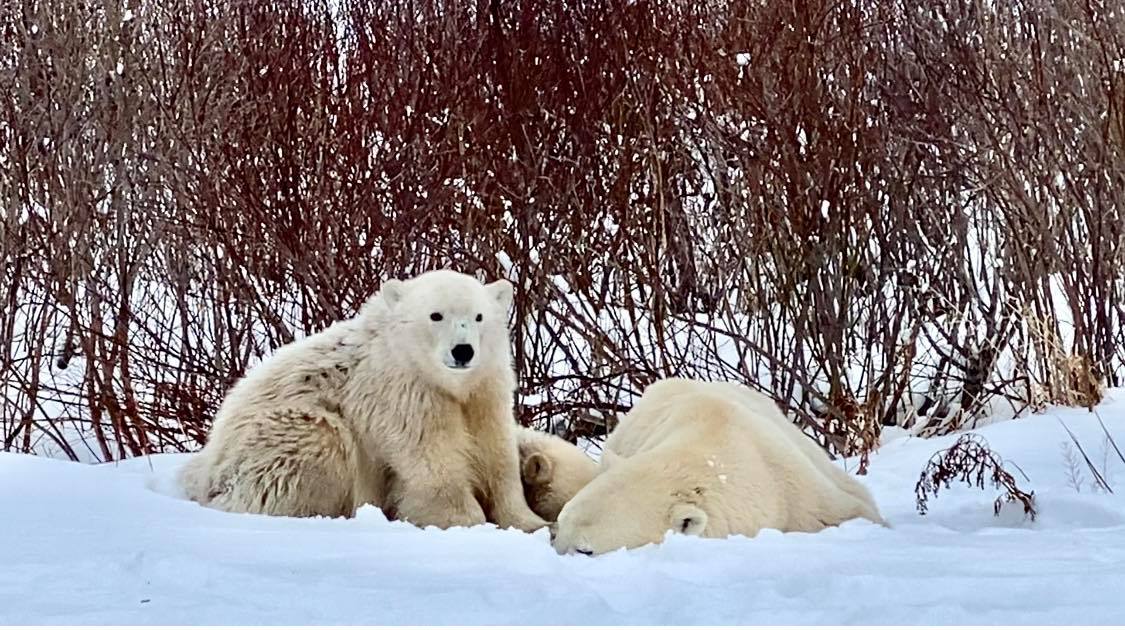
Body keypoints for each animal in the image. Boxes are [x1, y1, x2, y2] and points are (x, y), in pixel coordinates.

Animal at [177, 269, 548, 533]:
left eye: (479, 317)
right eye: (436, 315)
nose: (463, 351)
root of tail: (203, 473)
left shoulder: (485, 389)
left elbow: (496, 453)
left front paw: (532, 523)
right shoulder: (404, 390)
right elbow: (433, 459)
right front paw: (467, 523)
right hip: (274, 441)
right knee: (320, 440)